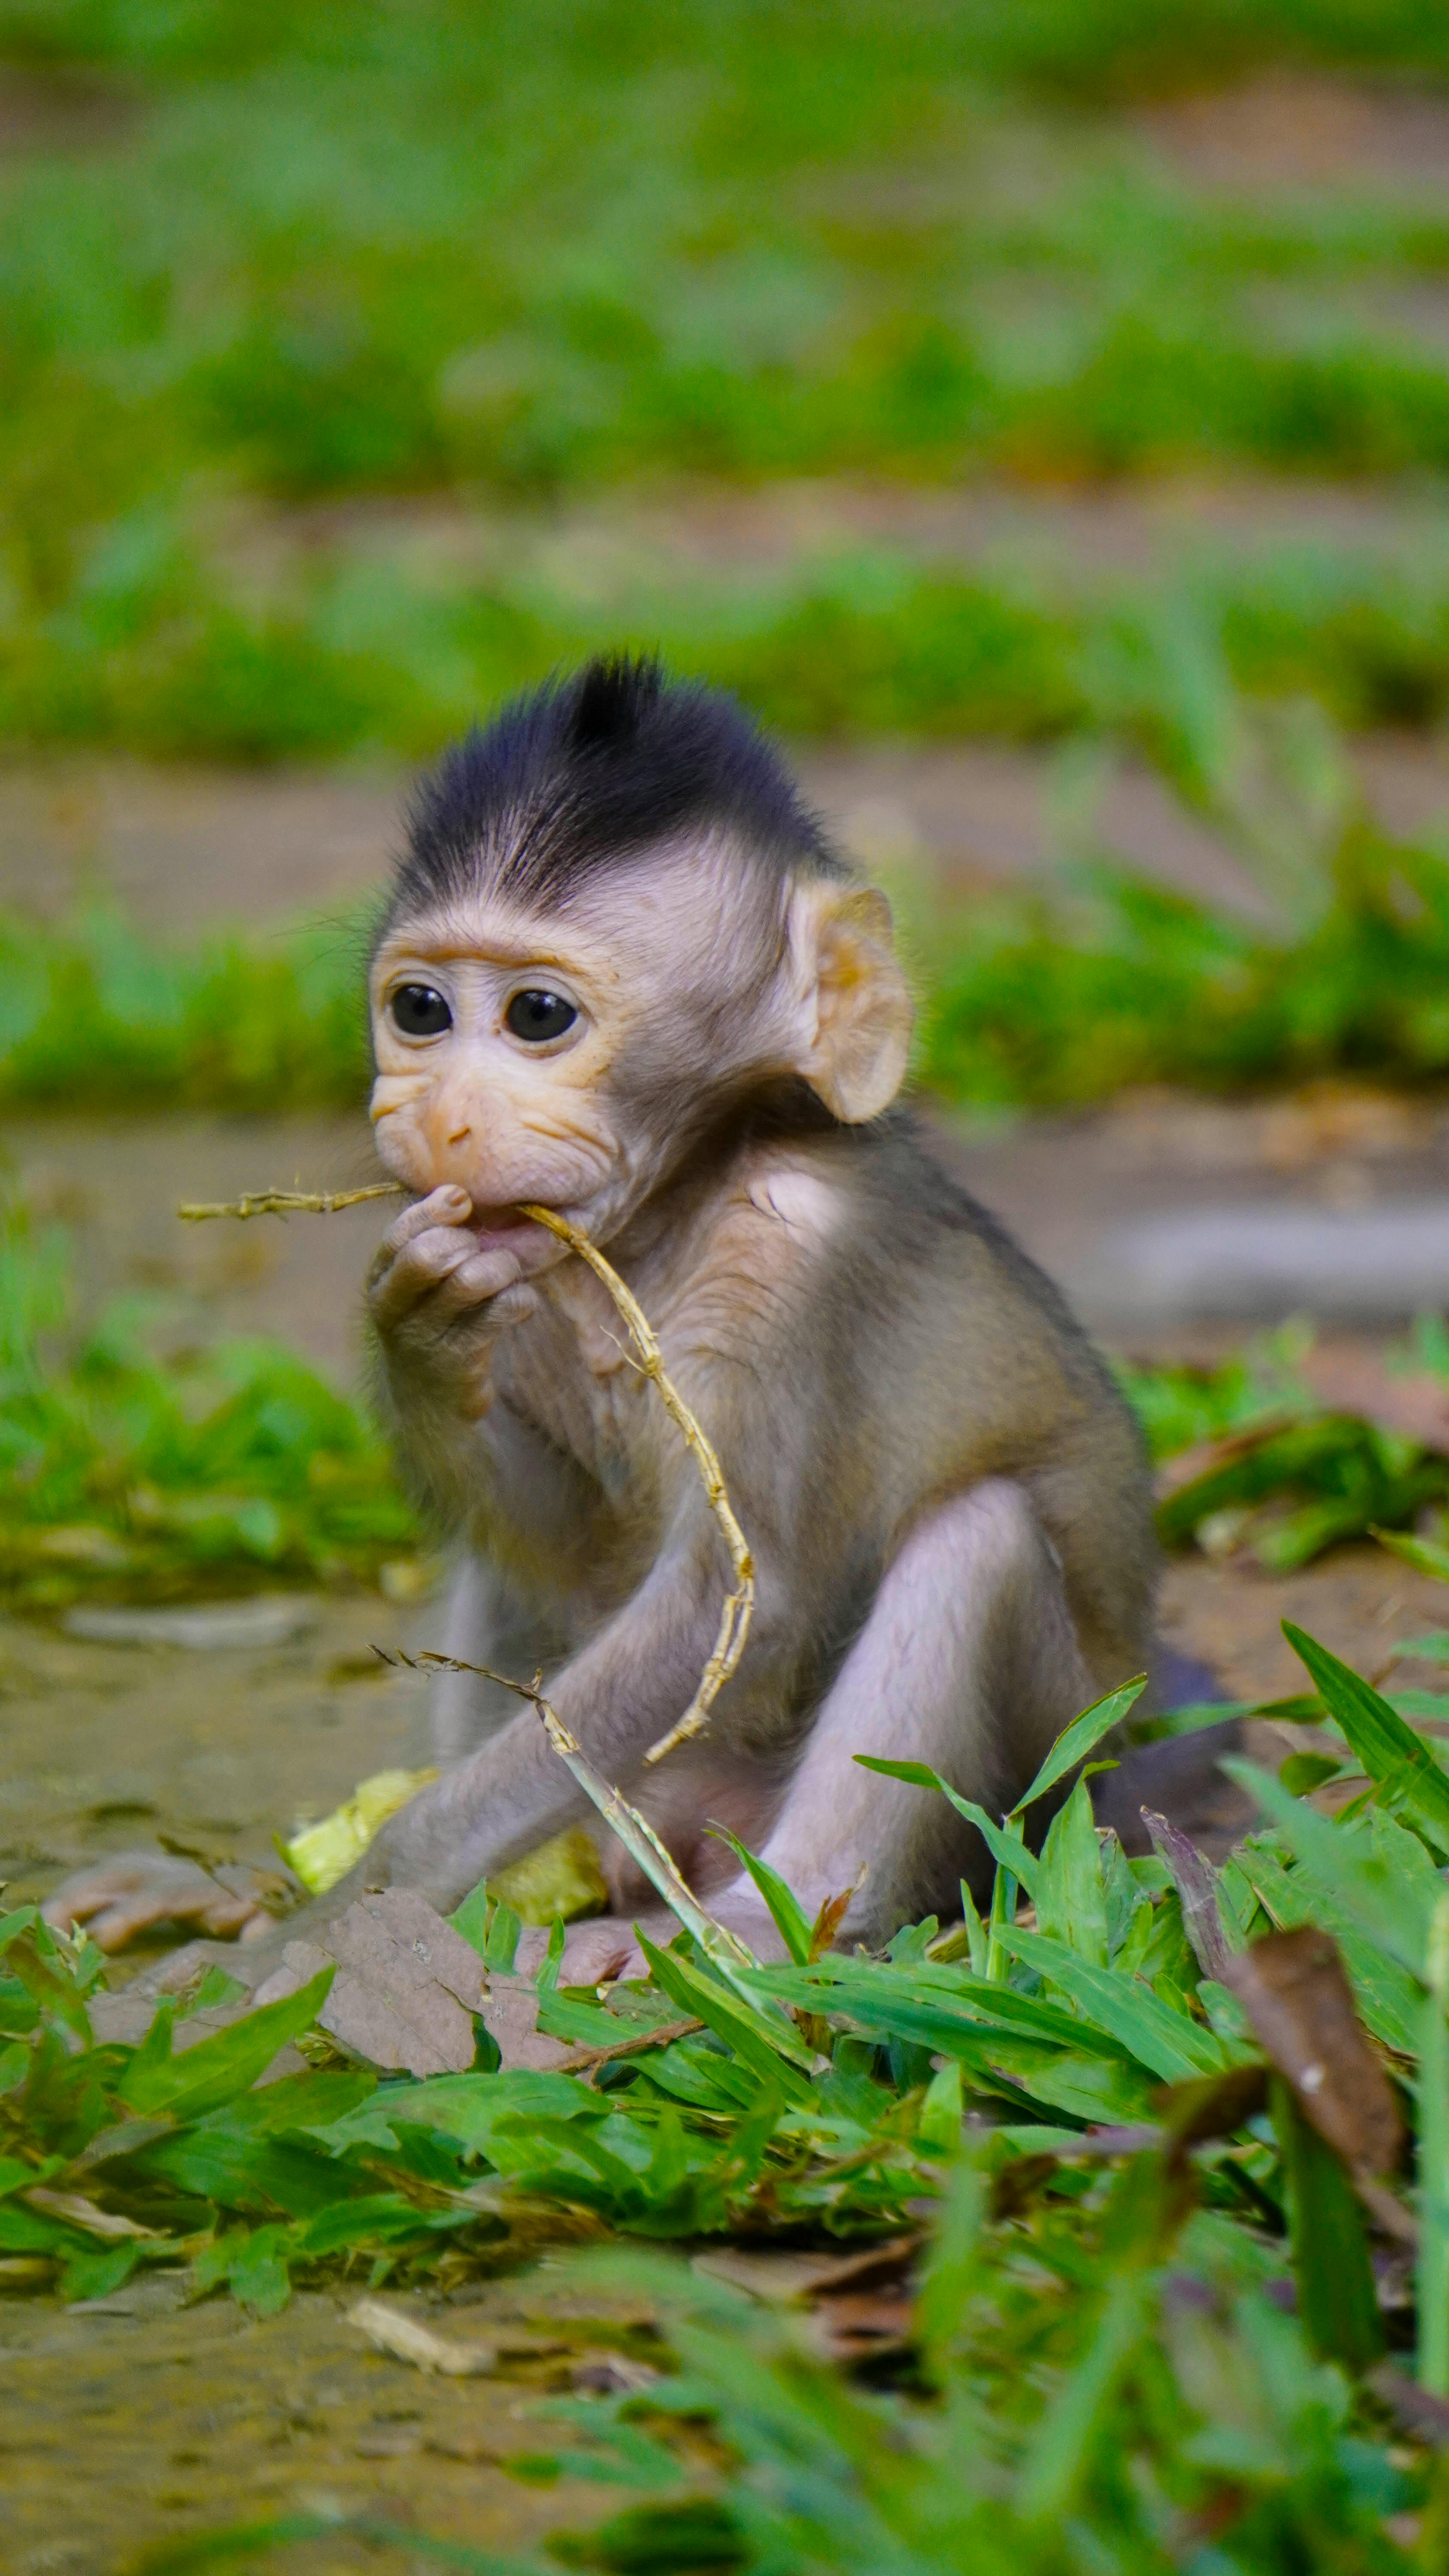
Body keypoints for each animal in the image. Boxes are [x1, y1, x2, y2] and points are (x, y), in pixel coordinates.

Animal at [44, 655, 1162, 1989]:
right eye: (419, 1009)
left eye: (537, 1018)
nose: (442, 1118)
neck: (671, 1211)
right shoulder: (529, 1274)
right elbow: (564, 1555)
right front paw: (422, 1331)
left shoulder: (803, 1269)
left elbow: (733, 1607)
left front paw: (333, 1919)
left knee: (977, 1540)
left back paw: (760, 1930)